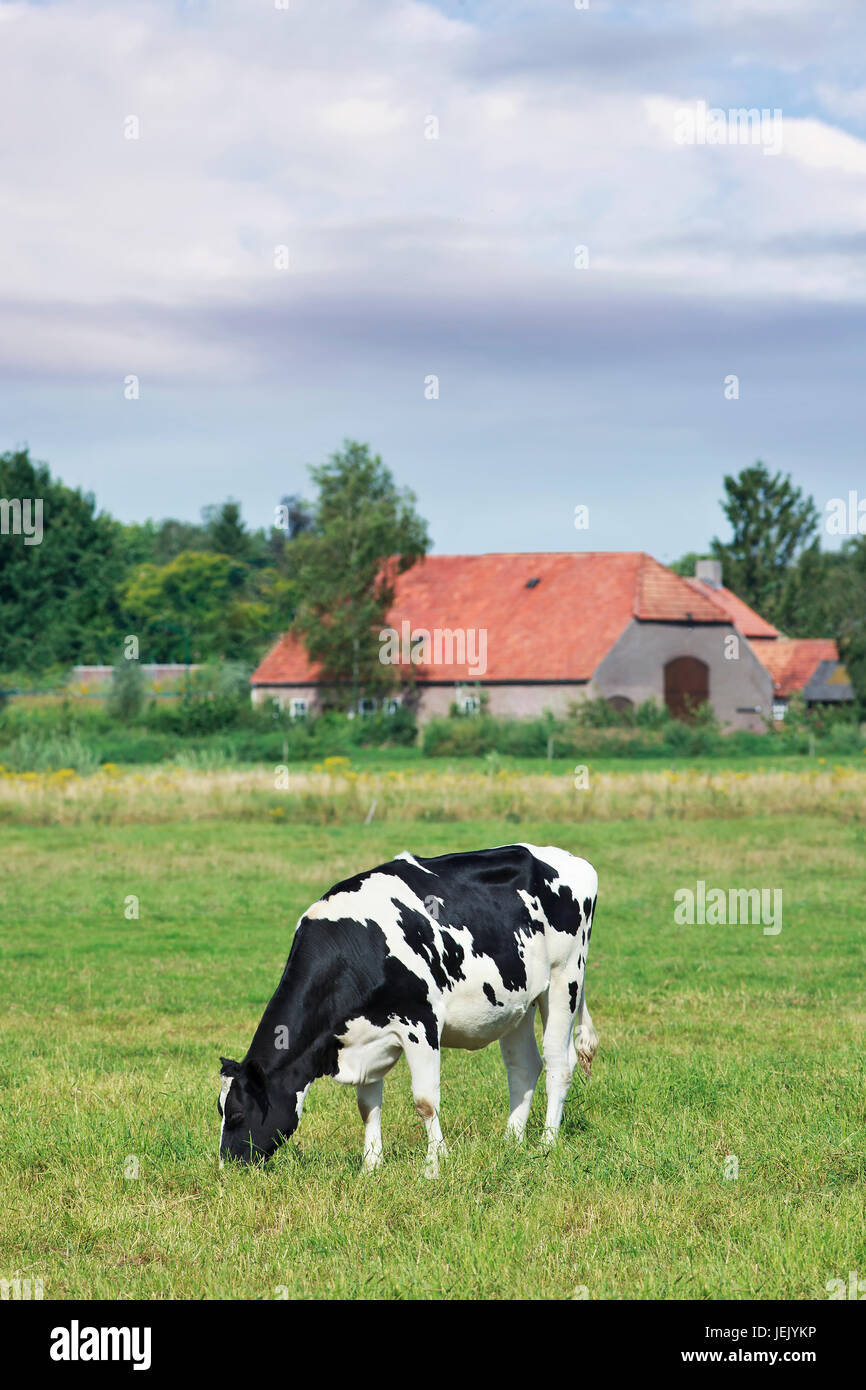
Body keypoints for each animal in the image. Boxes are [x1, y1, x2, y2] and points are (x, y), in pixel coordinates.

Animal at [218, 842, 598, 1176]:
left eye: (236, 1113)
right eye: (219, 1110)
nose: (226, 1169)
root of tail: (573, 860)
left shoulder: (421, 1022)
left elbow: (425, 1101)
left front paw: (434, 1164)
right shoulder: (364, 1038)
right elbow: (367, 1107)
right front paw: (370, 1168)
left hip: (565, 979)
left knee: (558, 1063)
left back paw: (546, 1144)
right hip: (517, 1002)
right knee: (523, 1066)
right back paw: (511, 1141)